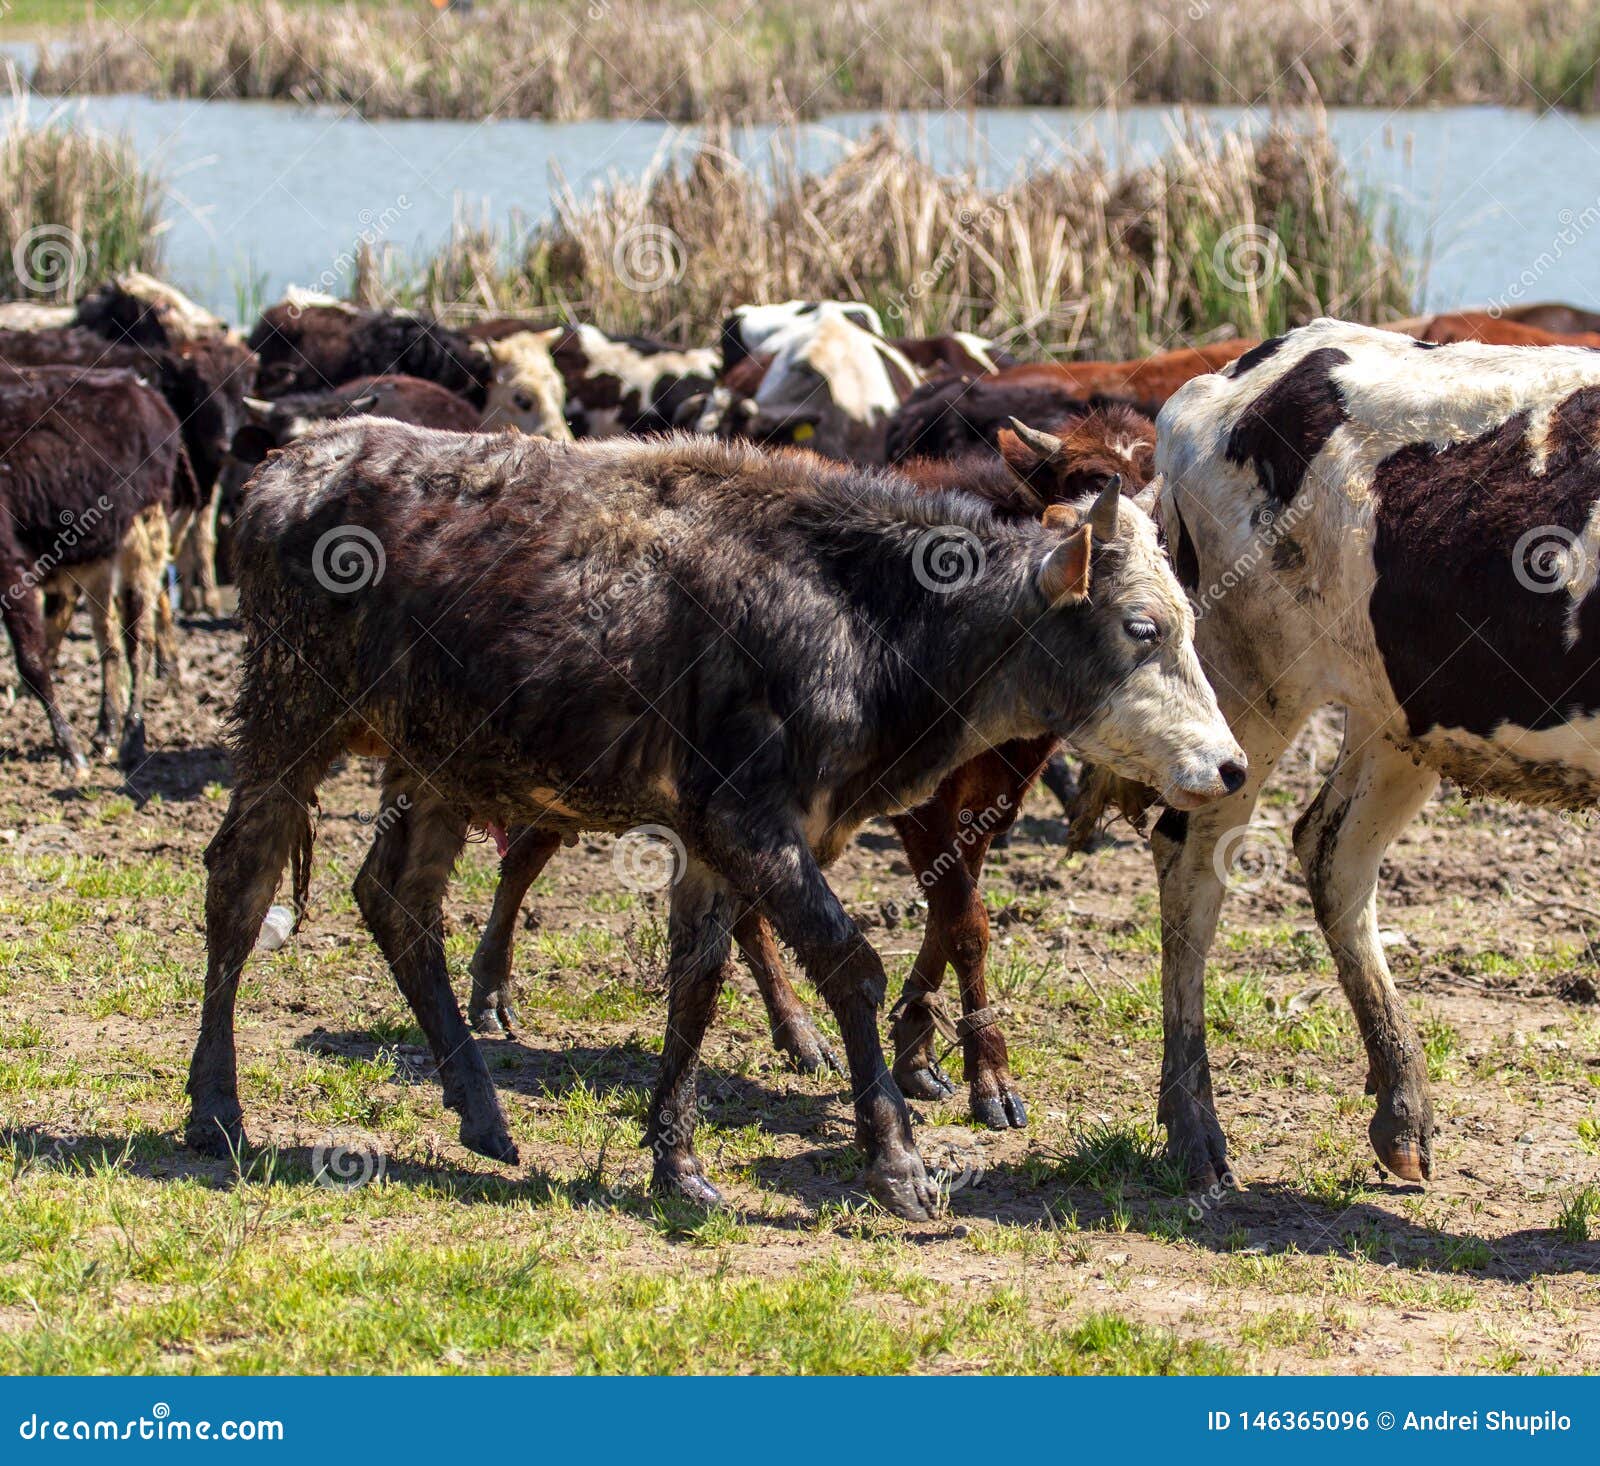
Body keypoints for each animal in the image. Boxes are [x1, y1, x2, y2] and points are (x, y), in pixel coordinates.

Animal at [0, 366, 181, 770]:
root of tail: (141, 388)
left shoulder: (11, 572)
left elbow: (32, 663)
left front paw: (69, 749)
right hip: (98, 558)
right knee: (108, 642)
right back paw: (106, 730)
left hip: (144, 533)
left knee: (138, 641)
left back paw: (132, 736)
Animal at [185, 422, 1243, 1219]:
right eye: (1142, 627)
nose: (1231, 766)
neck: (861, 616)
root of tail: (296, 458)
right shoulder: (752, 823)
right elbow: (850, 964)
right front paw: (896, 1160)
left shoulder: (720, 842)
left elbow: (697, 981)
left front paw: (675, 1160)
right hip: (290, 715)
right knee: (241, 880)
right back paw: (216, 1108)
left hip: (438, 761)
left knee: (397, 899)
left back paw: (480, 1110)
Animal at [1126, 318, 1600, 1192]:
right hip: (1240, 682)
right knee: (1193, 860)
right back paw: (1194, 1129)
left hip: (1402, 713)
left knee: (1332, 851)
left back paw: (1402, 1106)